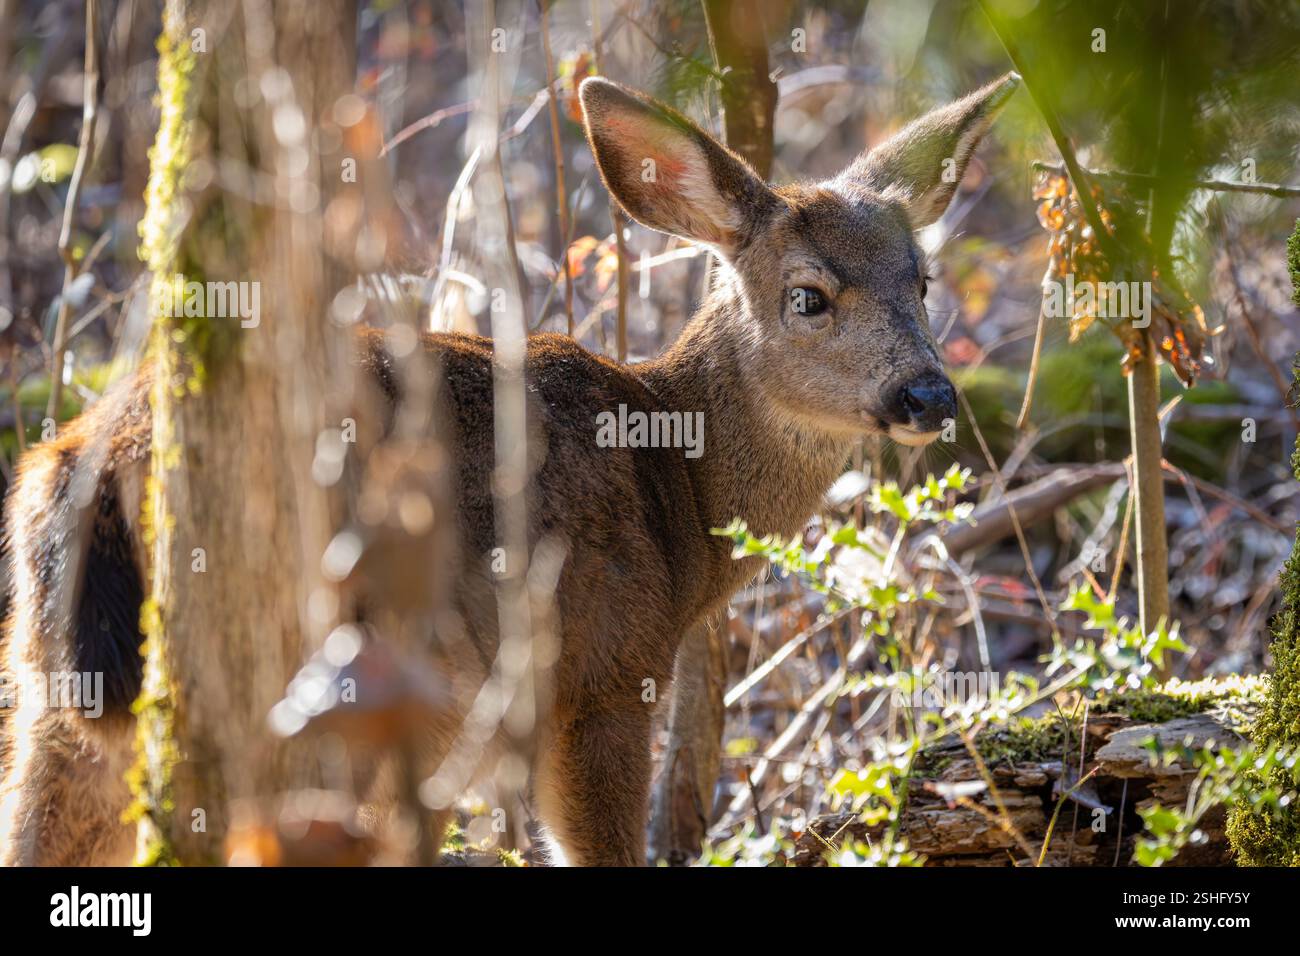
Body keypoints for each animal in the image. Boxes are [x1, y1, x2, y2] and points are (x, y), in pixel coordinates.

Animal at [0, 72, 1019, 867]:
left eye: (921, 280)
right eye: (808, 295)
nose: (929, 394)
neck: (679, 503)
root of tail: (99, 451)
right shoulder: (599, 677)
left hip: (65, 686)